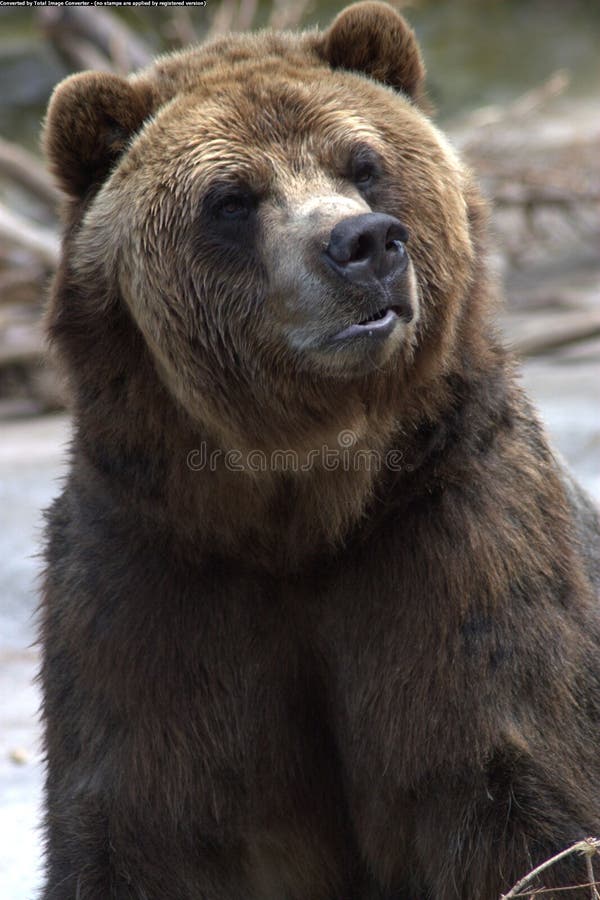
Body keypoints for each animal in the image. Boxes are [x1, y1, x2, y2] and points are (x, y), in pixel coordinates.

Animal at [39, 3, 600, 898]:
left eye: (363, 162)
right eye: (232, 197)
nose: (364, 242)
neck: (301, 507)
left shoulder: (456, 538)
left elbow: (517, 796)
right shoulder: (152, 584)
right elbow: (141, 828)